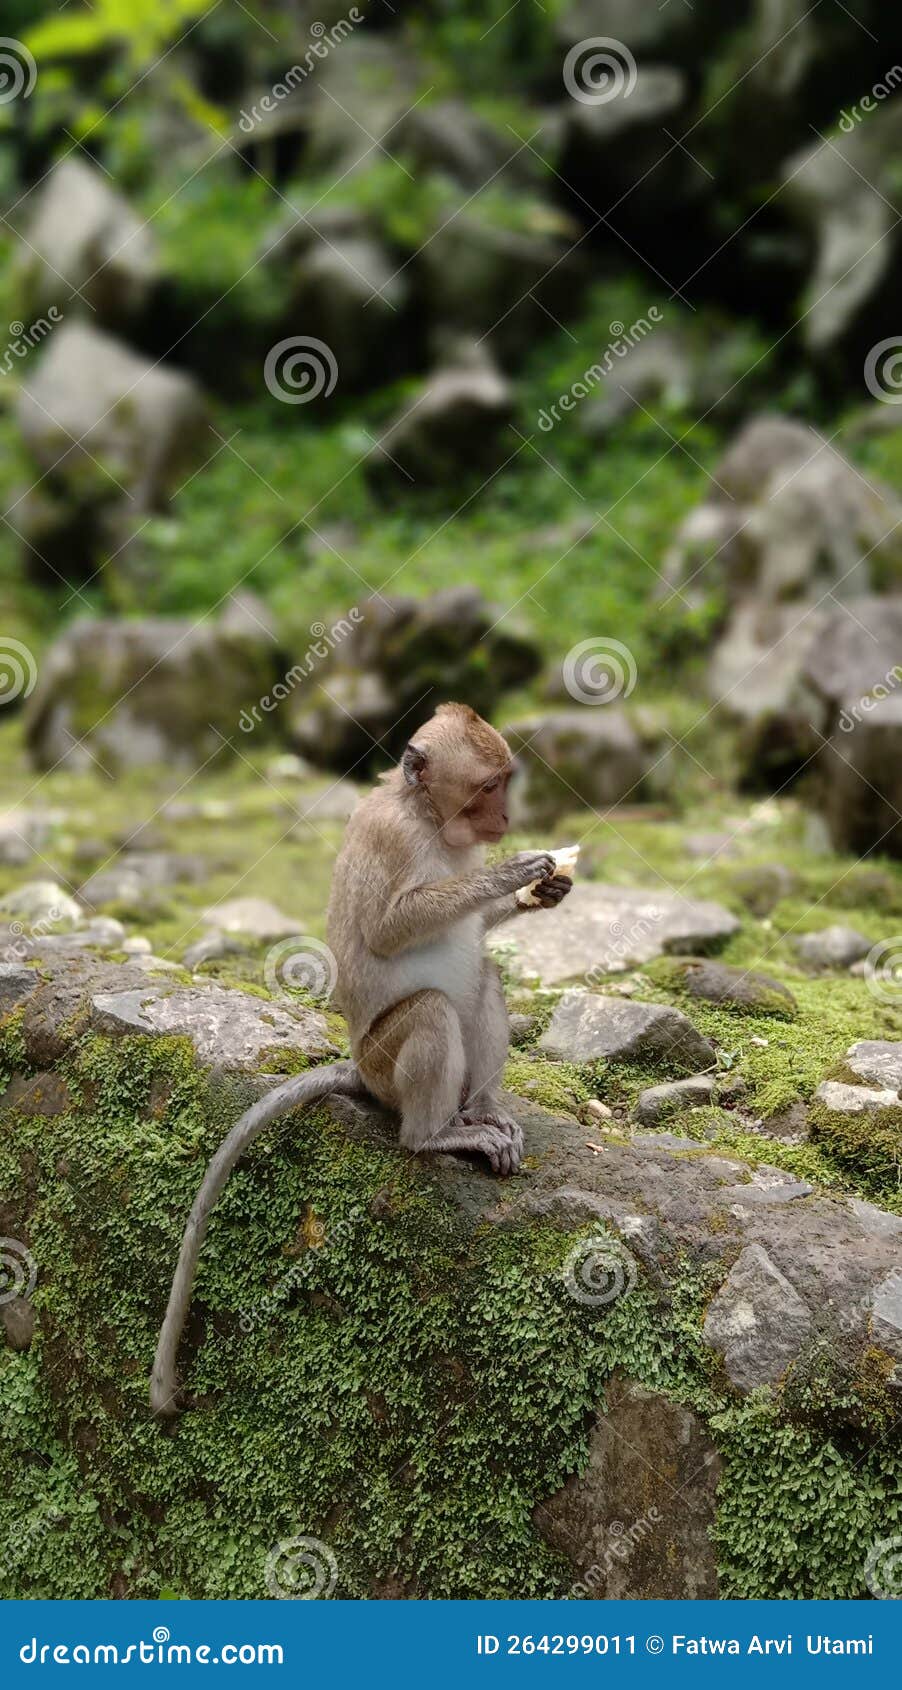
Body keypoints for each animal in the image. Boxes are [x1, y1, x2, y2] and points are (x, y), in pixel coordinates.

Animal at [150, 703, 572, 1416]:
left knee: (483, 977)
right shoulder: (392, 836)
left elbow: (478, 934)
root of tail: (359, 1068)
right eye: (489, 786)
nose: (506, 817)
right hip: (384, 1065)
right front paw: (514, 872)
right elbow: (389, 928)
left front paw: (541, 892)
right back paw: (435, 1136)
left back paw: (483, 1109)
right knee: (430, 1011)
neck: (428, 819)